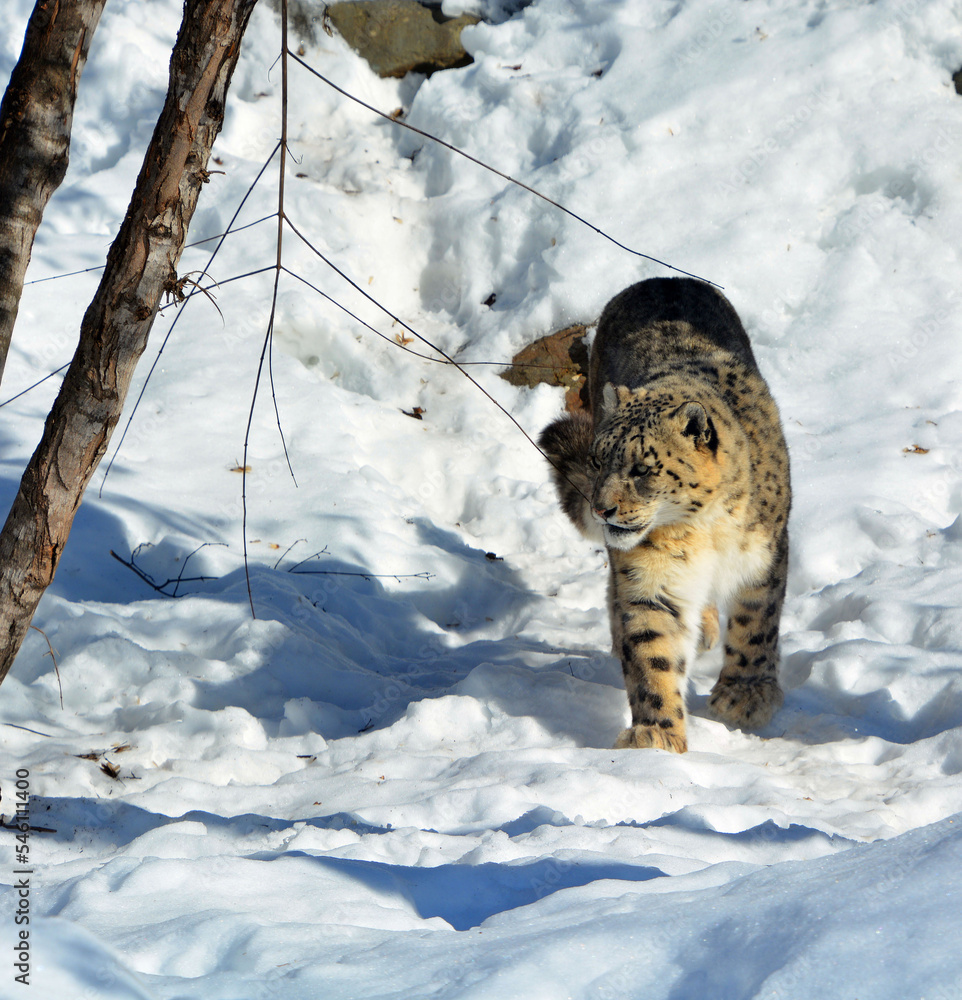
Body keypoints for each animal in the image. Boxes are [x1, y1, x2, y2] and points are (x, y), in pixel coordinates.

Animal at [539, 277, 791, 752]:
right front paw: (655, 735)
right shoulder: (647, 574)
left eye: (641, 469)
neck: (705, 530)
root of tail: (659, 280)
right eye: (597, 460)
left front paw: (745, 696)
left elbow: (756, 622)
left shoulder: (764, 556)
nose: (602, 508)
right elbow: (652, 646)